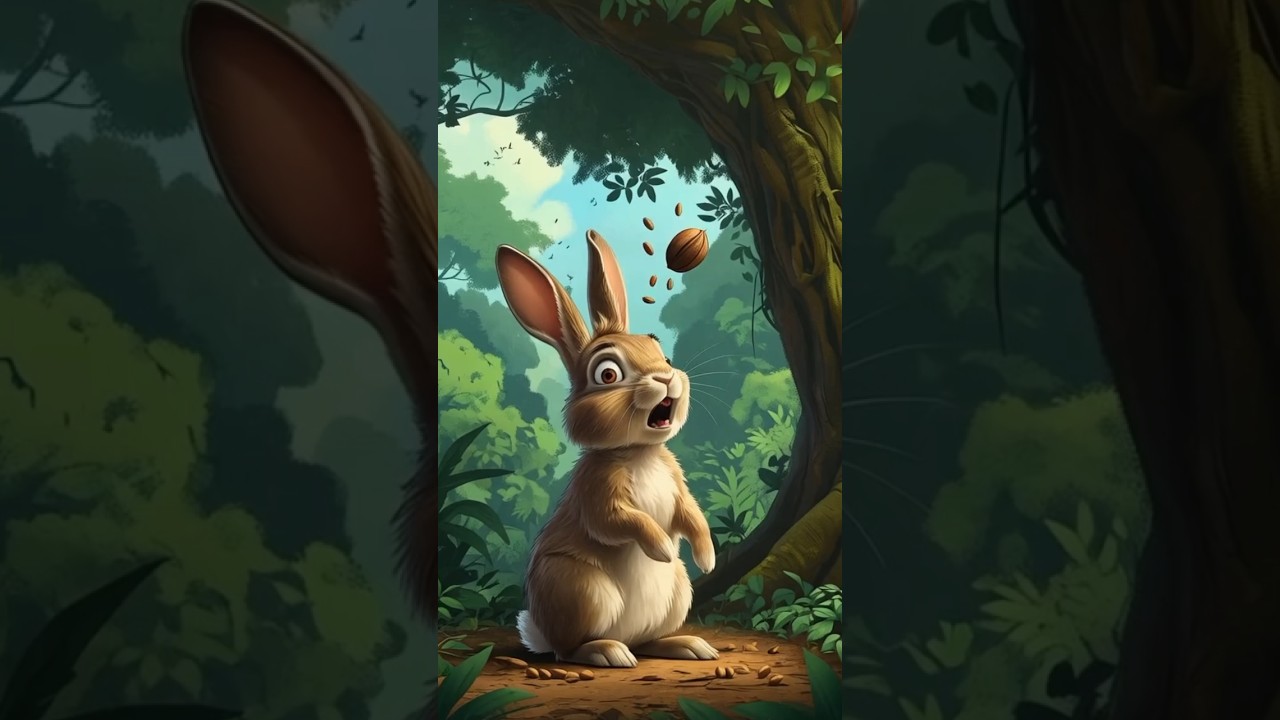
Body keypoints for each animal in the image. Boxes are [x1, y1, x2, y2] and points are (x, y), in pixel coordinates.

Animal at [495, 231, 719, 668]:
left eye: (663, 354)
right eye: (608, 374)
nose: (666, 377)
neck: (638, 452)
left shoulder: (678, 489)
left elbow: (691, 515)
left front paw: (707, 557)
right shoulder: (598, 494)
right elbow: (622, 521)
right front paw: (662, 548)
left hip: (677, 593)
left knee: (647, 641)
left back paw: (687, 646)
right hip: (581, 589)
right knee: (568, 650)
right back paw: (607, 652)